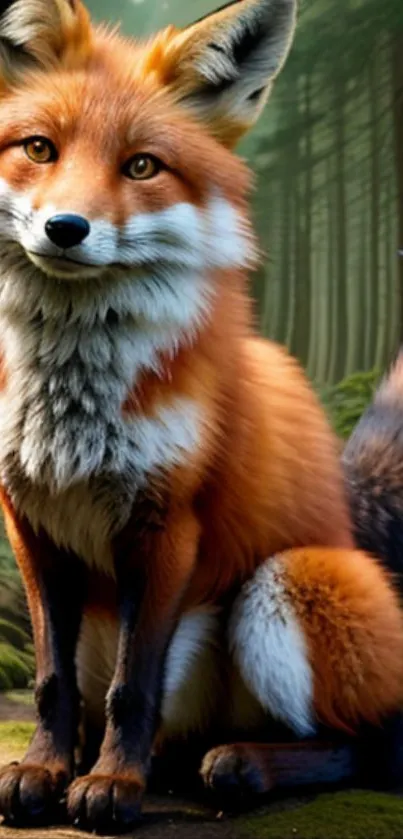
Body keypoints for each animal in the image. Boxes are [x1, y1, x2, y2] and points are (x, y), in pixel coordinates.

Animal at [0, 0, 403, 833]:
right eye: (39, 149)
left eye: (141, 166)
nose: (65, 228)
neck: (69, 408)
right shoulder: (28, 517)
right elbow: (53, 682)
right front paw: (46, 768)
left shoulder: (167, 522)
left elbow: (133, 687)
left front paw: (113, 783)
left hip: (285, 584)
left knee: (367, 747)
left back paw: (239, 766)